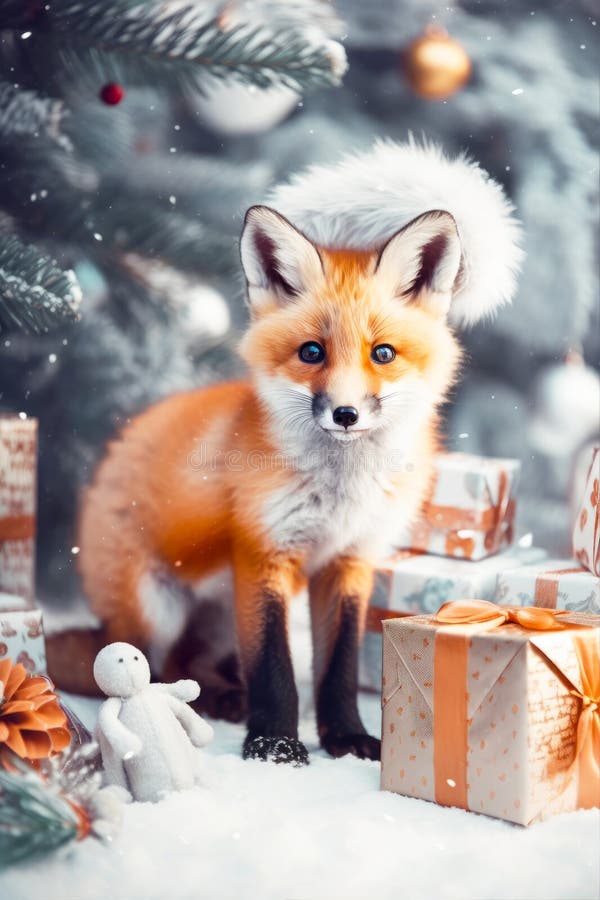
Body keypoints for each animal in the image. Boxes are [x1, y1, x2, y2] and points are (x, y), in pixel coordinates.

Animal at [50, 140, 522, 766]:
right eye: (311, 352)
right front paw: (274, 745)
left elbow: (336, 667)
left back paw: (224, 695)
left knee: (192, 664)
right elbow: (275, 668)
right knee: (156, 670)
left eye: (383, 353)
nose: (344, 414)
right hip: (157, 610)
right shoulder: (262, 552)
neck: (341, 491)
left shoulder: (349, 562)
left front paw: (346, 738)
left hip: (216, 616)